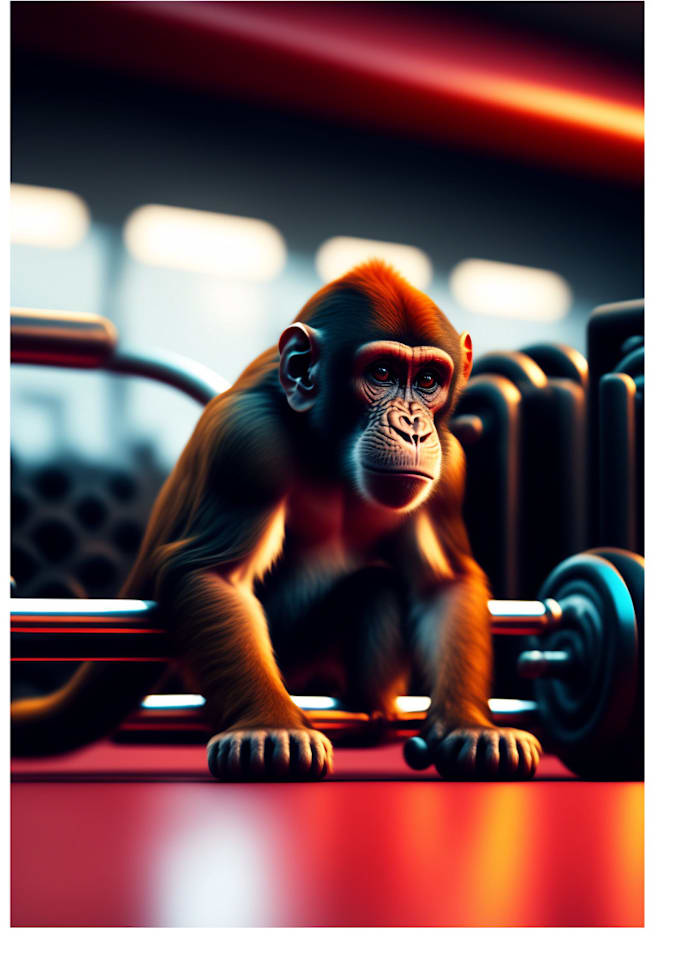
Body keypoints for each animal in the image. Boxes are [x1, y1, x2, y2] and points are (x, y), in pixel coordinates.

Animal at [11, 260, 541, 780]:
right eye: (383, 372)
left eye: (428, 380)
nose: (412, 426)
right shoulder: (247, 441)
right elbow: (214, 574)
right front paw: (268, 726)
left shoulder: (449, 467)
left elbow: (442, 584)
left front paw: (469, 725)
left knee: (378, 587)